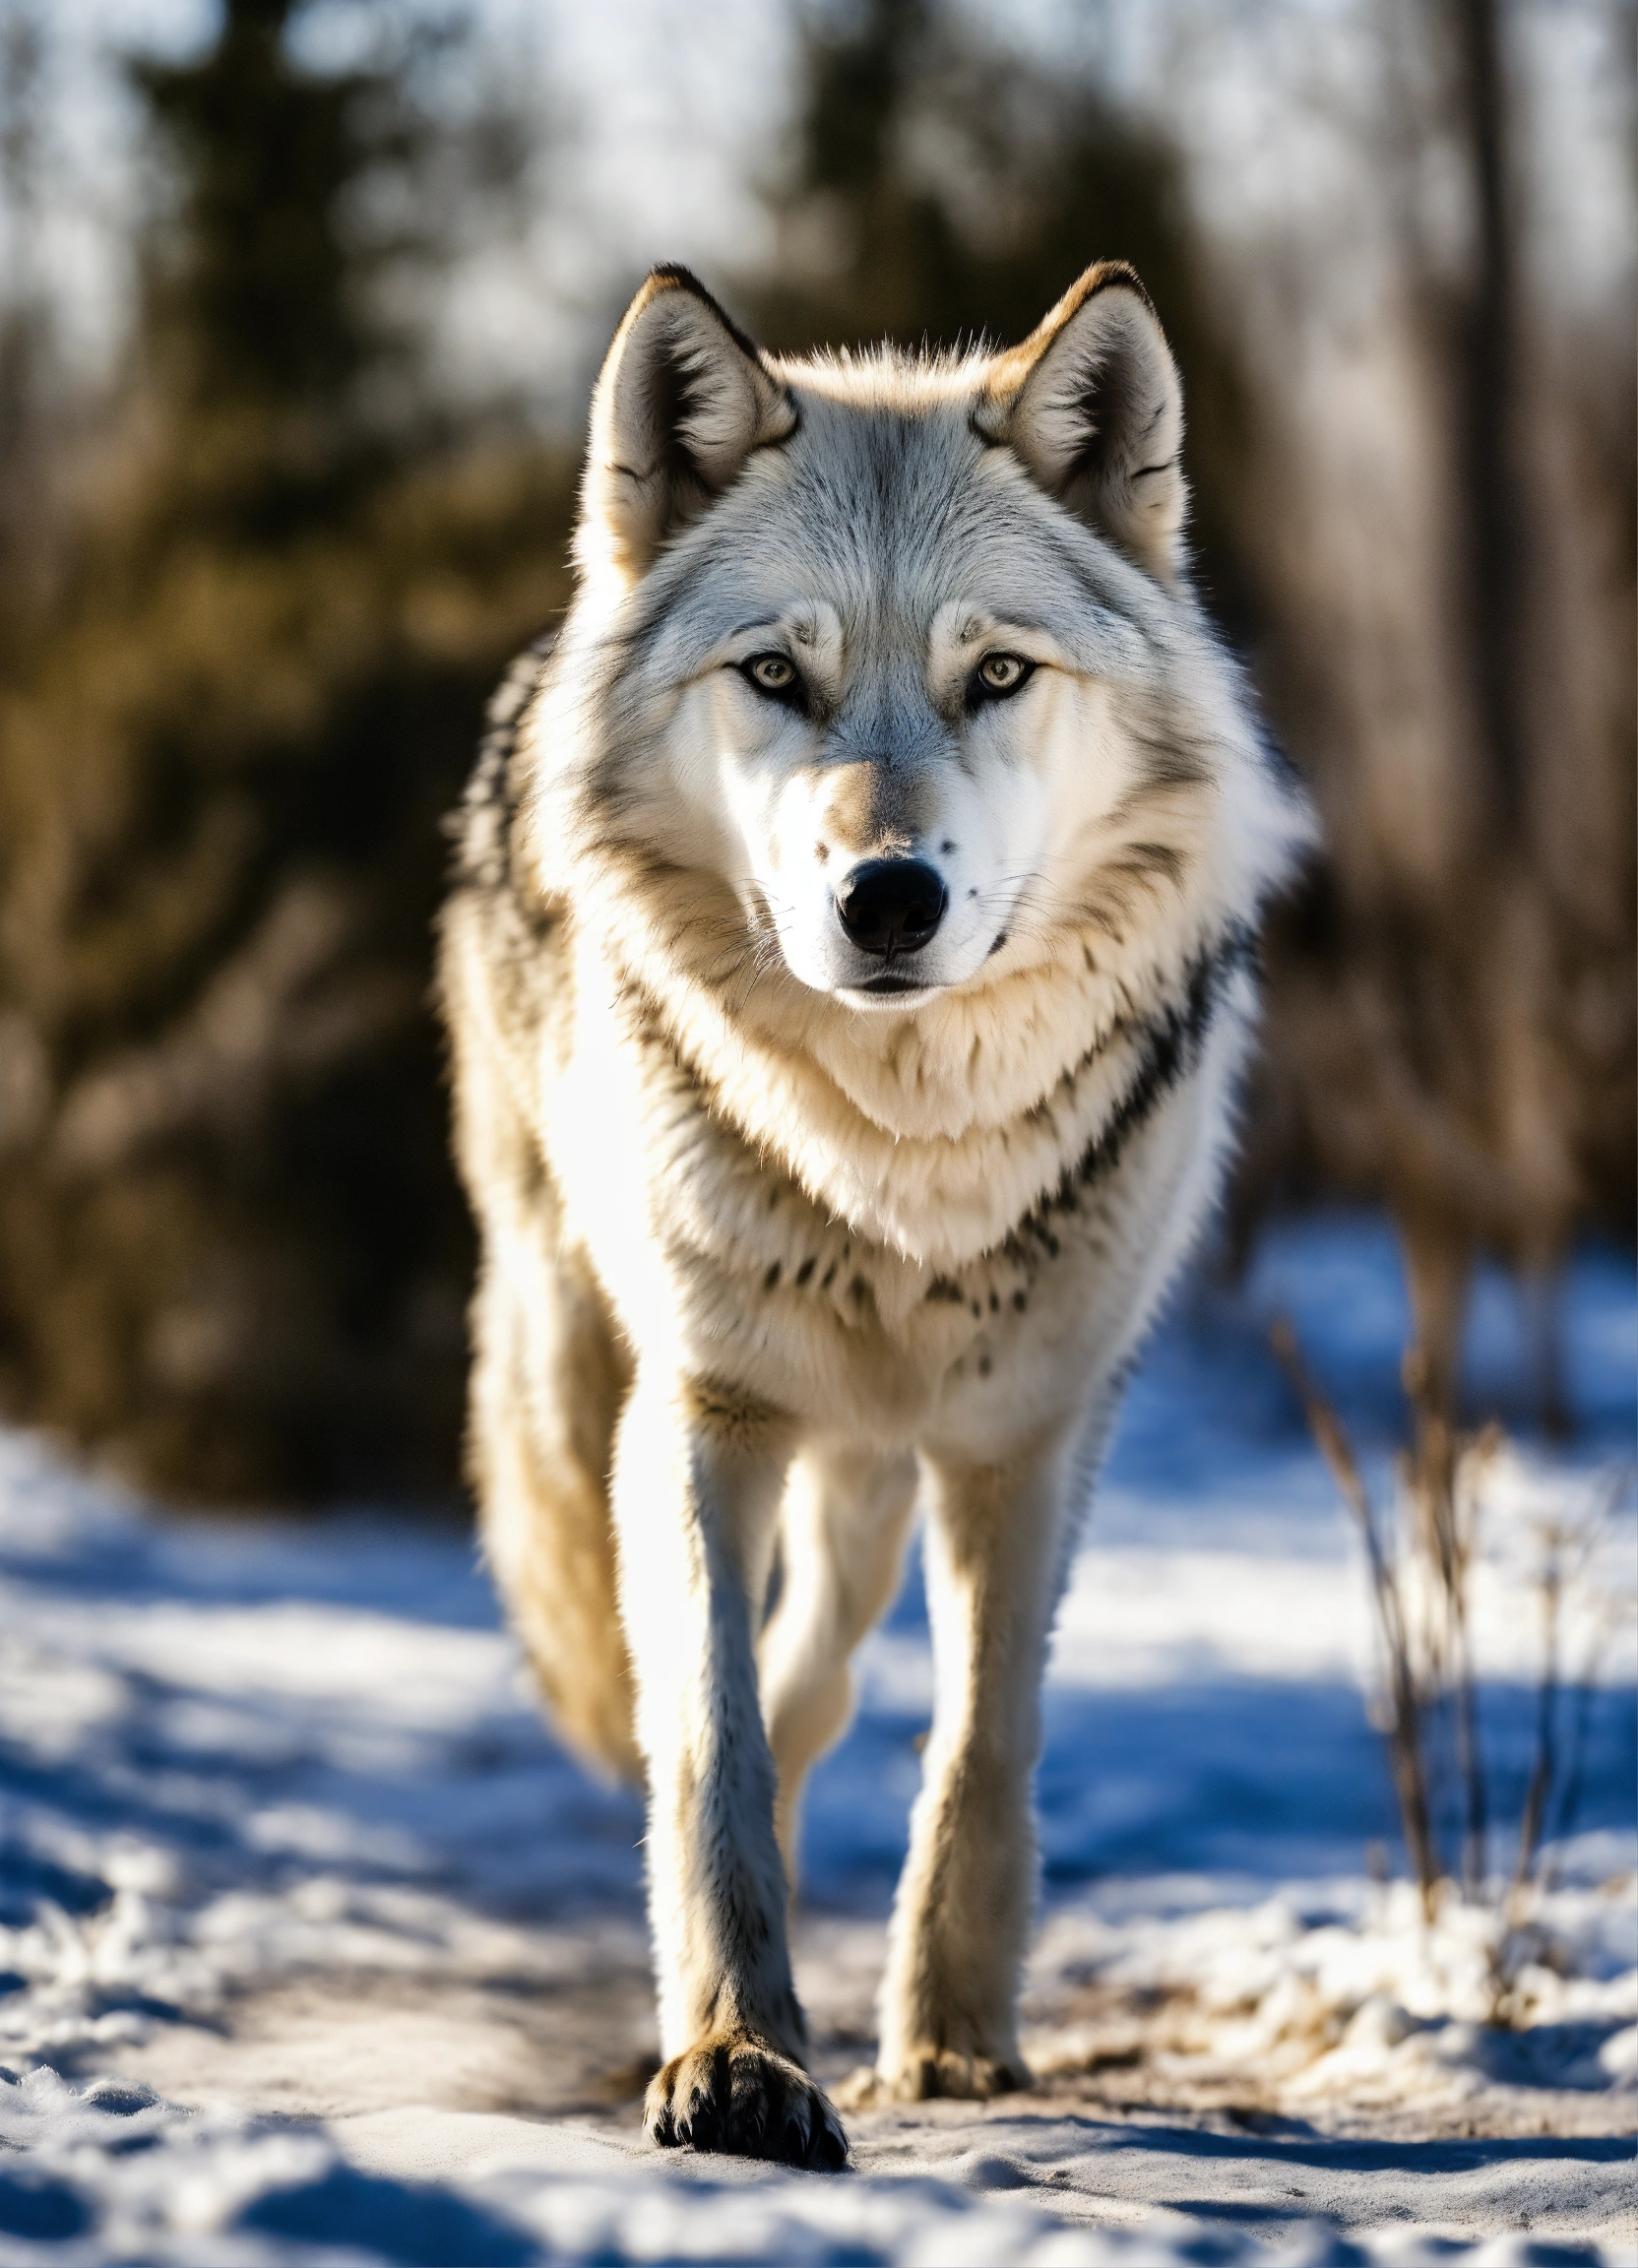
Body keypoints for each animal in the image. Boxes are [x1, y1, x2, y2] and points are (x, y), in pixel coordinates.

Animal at [439, 260, 1311, 2169]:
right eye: (776, 672)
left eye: (996, 674)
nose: (889, 895)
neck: (903, 1160)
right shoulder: (700, 1414)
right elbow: (710, 1737)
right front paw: (735, 2058)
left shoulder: (1029, 1431)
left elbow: (980, 1740)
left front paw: (957, 2039)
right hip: (586, 1356)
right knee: (705, 1677)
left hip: (871, 1462)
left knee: (826, 1666)